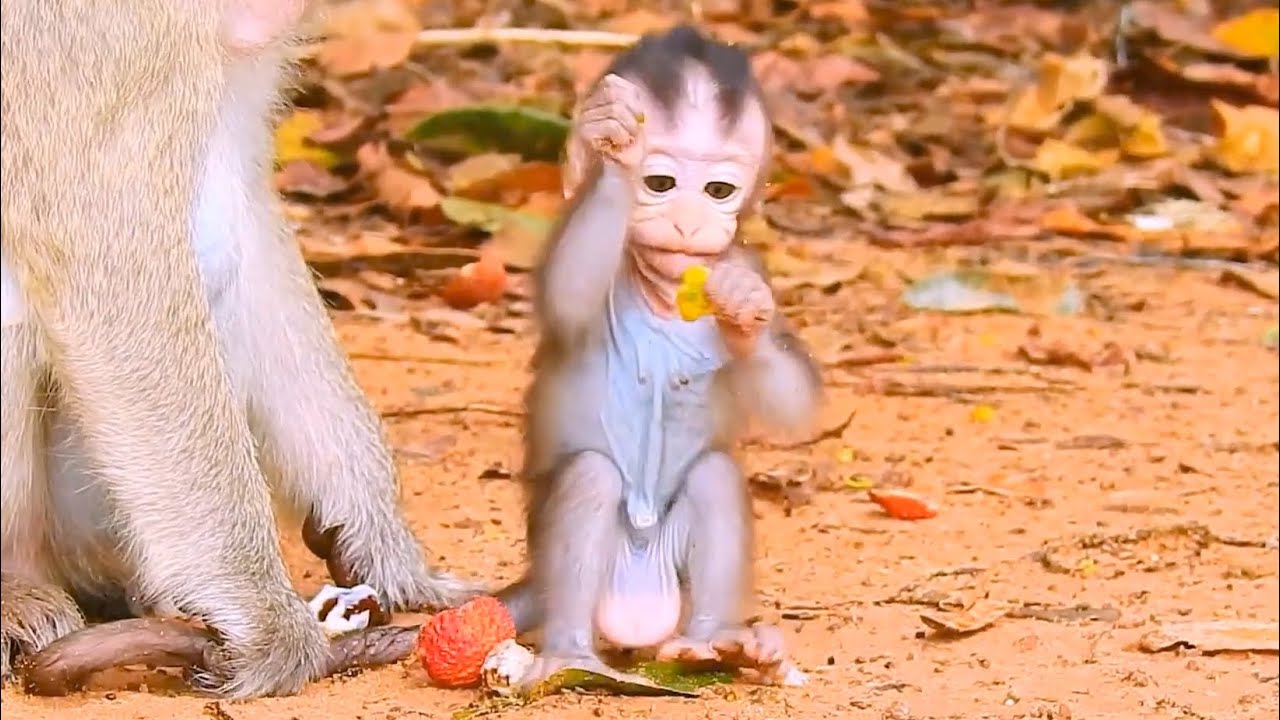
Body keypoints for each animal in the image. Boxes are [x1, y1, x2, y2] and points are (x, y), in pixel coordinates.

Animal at [1, 0, 474, 698]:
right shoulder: (92, 33)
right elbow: (107, 247)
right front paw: (265, 620)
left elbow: (241, 220)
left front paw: (376, 535)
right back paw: (15, 591)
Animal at [496, 25, 823, 689]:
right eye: (660, 183)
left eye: (718, 190)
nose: (689, 222)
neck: (663, 292)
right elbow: (569, 292)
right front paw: (615, 144)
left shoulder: (744, 258)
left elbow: (794, 399)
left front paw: (744, 309)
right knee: (590, 478)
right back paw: (570, 652)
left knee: (714, 475)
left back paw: (716, 642)